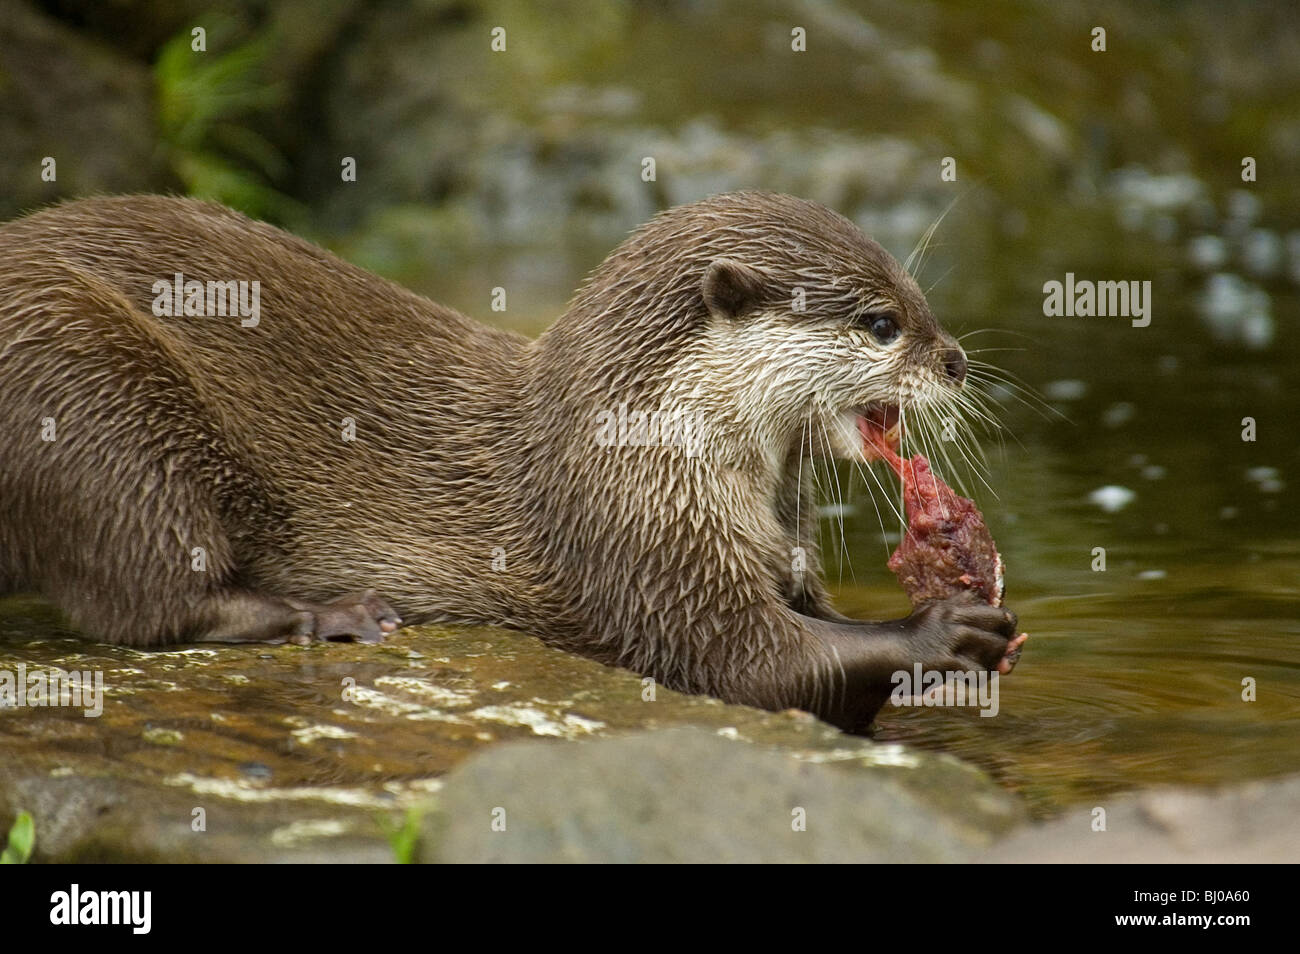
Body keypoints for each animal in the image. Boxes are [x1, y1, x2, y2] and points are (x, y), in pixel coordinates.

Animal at [0, 192, 1017, 730]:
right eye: (880, 323)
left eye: (920, 299)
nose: (958, 360)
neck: (634, 439)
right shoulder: (638, 534)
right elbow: (750, 661)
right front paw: (938, 629)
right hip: (85, 380)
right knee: (150, 595)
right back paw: (332, 614)